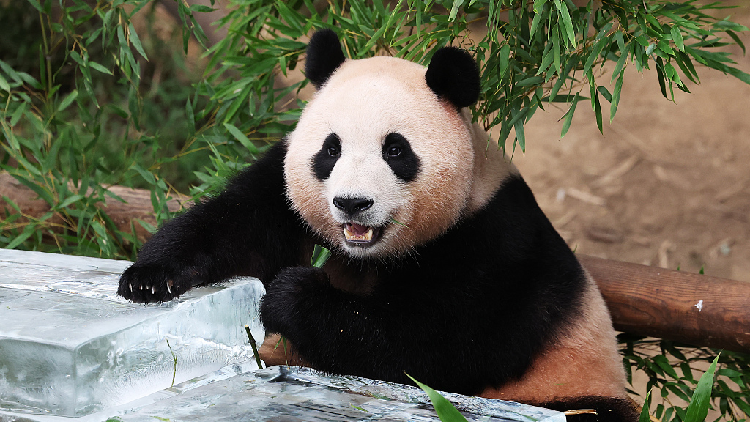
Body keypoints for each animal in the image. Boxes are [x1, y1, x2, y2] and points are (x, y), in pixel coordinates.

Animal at [118, 30, 637, 421]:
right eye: (331, 149)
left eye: (396, 150)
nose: (352, 203)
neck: (372, 257)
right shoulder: (282, 179)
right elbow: (240, 227)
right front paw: (149, 279)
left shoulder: (496, 242)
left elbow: (433, 347)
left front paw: (291, 295)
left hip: (570, 384)